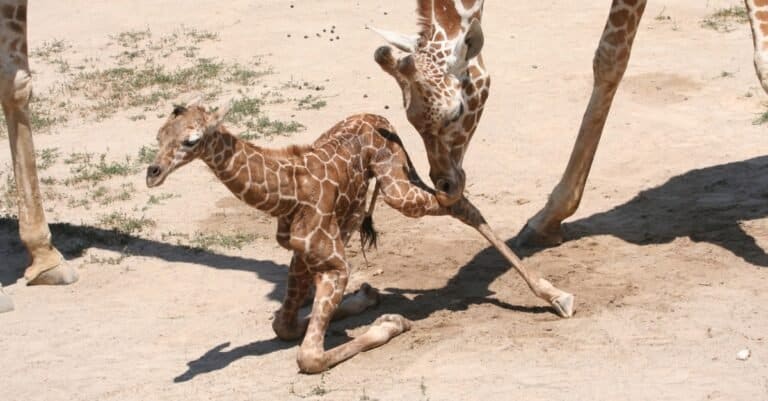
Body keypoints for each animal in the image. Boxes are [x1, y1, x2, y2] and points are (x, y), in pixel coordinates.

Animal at [146, 102, 573, 372]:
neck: (286, 193)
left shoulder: (336, 264)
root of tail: (380, 118)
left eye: (190, 140)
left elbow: (309, 357)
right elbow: (283, 325)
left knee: (457, 201)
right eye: (158, 135)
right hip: (367, 205)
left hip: (397, 187)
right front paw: (365, 298)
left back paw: (556, 296)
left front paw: (392, 322)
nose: (152, 173)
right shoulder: (302, 254)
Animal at [372, 0, 768, 247]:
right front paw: (547, 220)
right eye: (410, 119)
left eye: (455, 112)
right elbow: (610, 57)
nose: (444, 185)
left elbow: (762, 59)